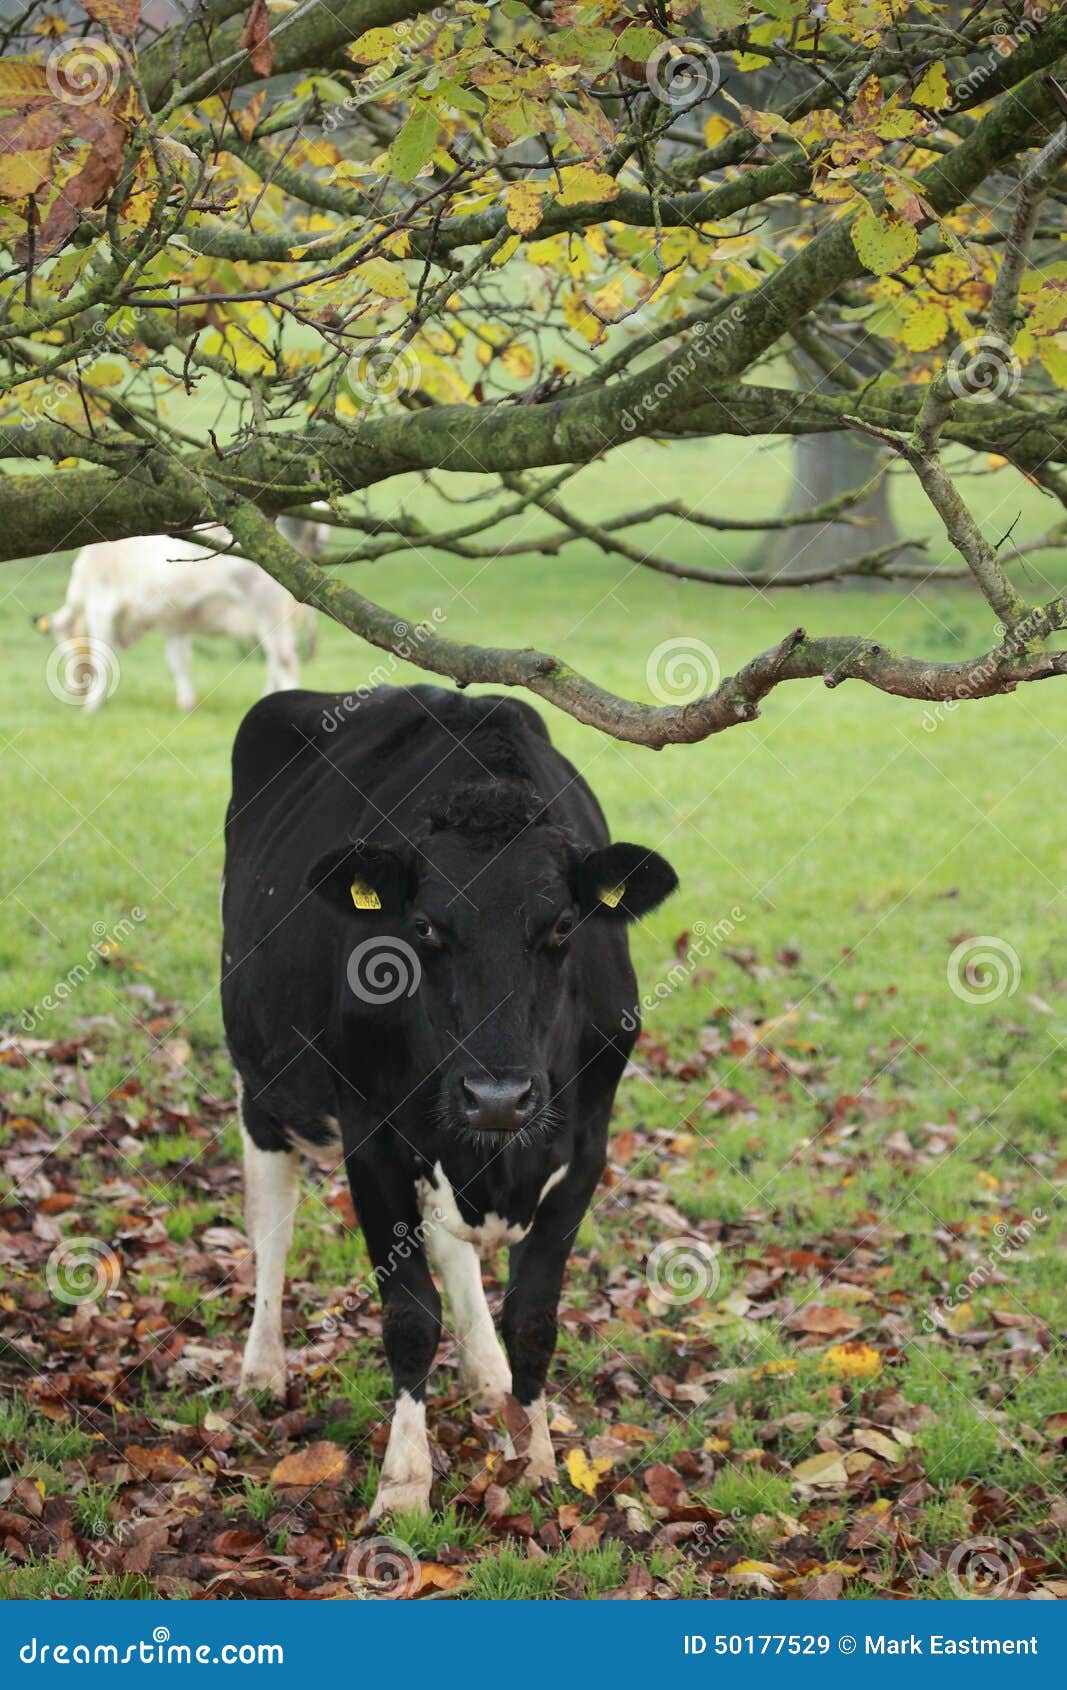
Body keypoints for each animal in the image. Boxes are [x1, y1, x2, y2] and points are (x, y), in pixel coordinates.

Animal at [34, 521, 326, 712]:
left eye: (63, 644)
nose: (75, 688)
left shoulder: (101, 605)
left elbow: (102, 657)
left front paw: (92, 705)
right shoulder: (174, 623)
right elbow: (179, 662)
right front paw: (186, 703)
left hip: (269, 613)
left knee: (285, 663)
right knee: (274, 664)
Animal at [221, 684, 678, 1518]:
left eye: (563, 925)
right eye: (424, 926)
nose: (496, 1093)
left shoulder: (586, 1144)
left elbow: (532, 1317)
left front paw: (535, 1460)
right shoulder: (371, 1137)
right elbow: (408, 1316)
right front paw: (404, 1485)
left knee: (446, 1242)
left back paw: (486, 1371)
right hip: (263, 1086)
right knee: (272, 1221)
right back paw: (261, 1369)